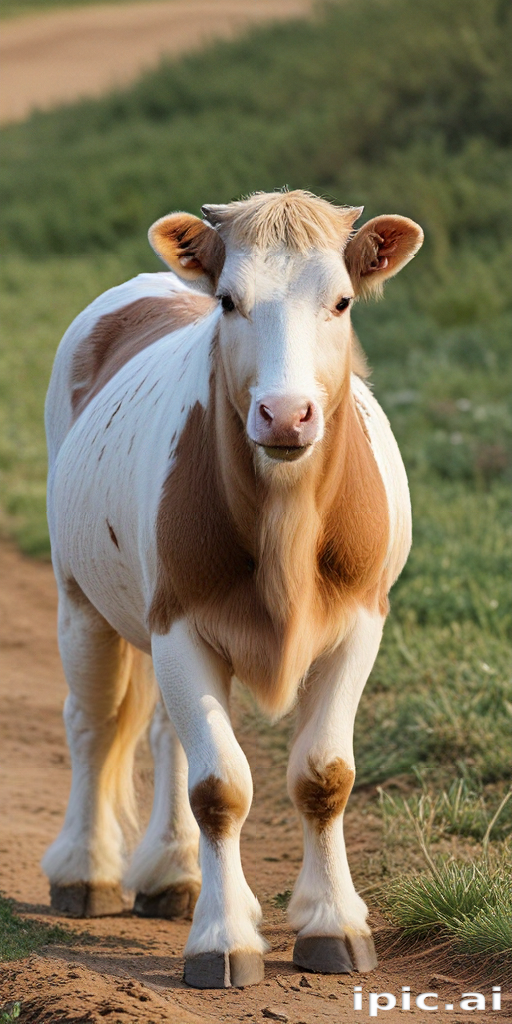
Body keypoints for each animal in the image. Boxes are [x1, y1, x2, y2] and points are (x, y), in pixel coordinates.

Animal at [42, 189, 423, 988]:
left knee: (165, 734)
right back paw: (85, 870)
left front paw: (332, 924)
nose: (285, 413)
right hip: (79, 599)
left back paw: (173, 874)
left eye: (342, 301)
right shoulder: (178, 625)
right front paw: (223, 939)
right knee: (94, 725)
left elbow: (323, 775)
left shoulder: (361, 624)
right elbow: (219, 787)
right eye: (228, 301)